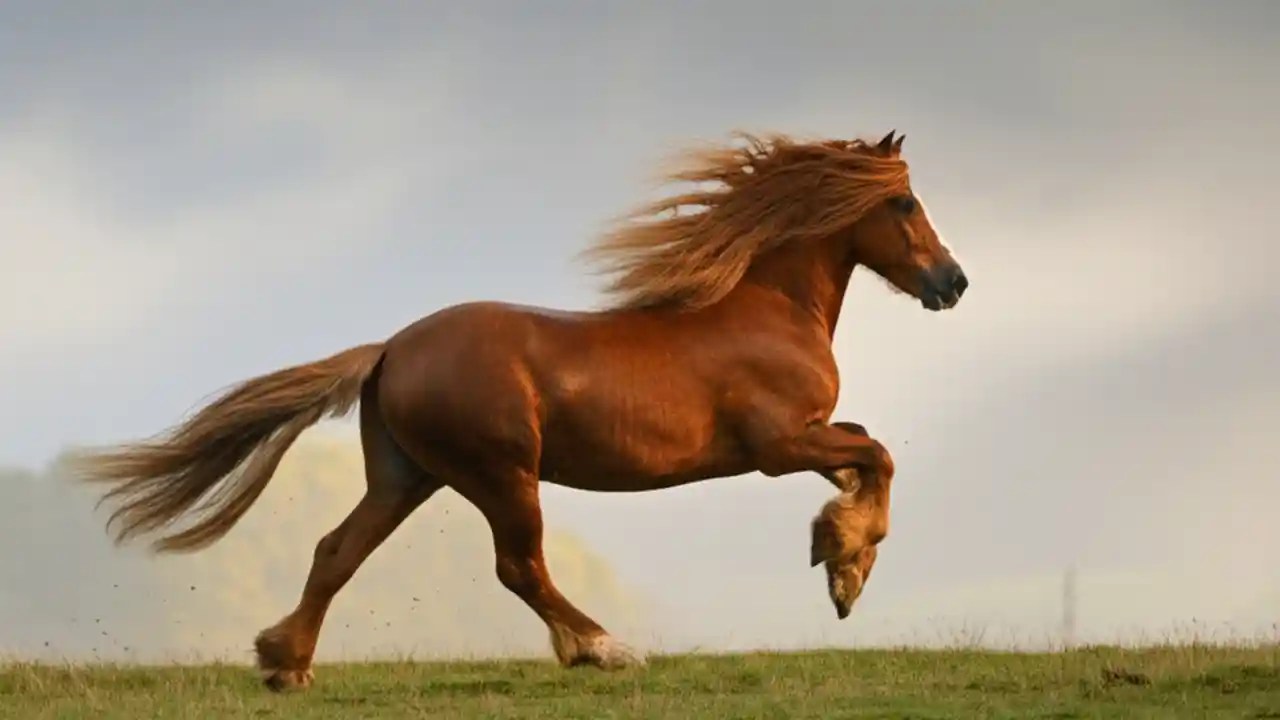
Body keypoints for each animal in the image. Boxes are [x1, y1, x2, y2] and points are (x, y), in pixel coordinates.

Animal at [70, 129, 967, 691]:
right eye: (905, 204)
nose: (952, 283)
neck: (766, 308)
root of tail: (390, 348)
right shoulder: (779, 446)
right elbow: (879, 455)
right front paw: (840, 561)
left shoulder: (798, 442)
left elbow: (870, 454)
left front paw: (844, 563)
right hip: (501, 474)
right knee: (519, 566)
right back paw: (603, 650)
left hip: (408, 476)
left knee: (336, 551)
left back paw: (285, 663)